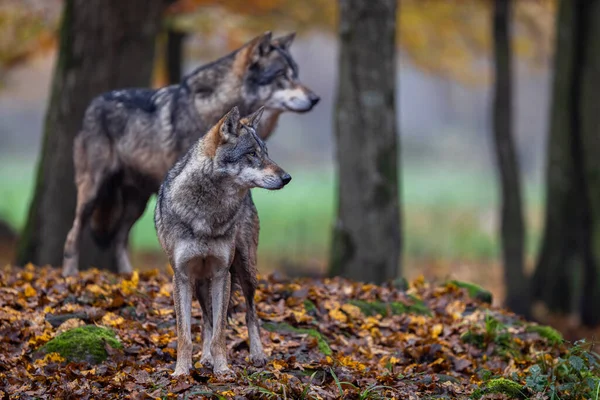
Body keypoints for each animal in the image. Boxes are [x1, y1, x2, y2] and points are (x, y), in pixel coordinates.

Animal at [62, 32, 318, 278]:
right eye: (283, 75)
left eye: (296, 74)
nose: (315, 99)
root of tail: (94, 103)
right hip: (93, 193)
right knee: (73, 233)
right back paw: (70, 274)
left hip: (137, 203)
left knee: (119, 238)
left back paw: (129, 276)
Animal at [152, 105, 288, 376]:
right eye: (252, 154)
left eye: (266, 153)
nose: (287, 177)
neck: (206, 214)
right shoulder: (182, 276)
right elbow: (186, 334)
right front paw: (181, 371)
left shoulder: (221, 274)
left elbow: (220, 334)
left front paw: (223, 370)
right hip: (200, 283)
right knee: (207, 319)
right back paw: (204, 359)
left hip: (246, 271)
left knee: (250, 314)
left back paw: (257, 355)